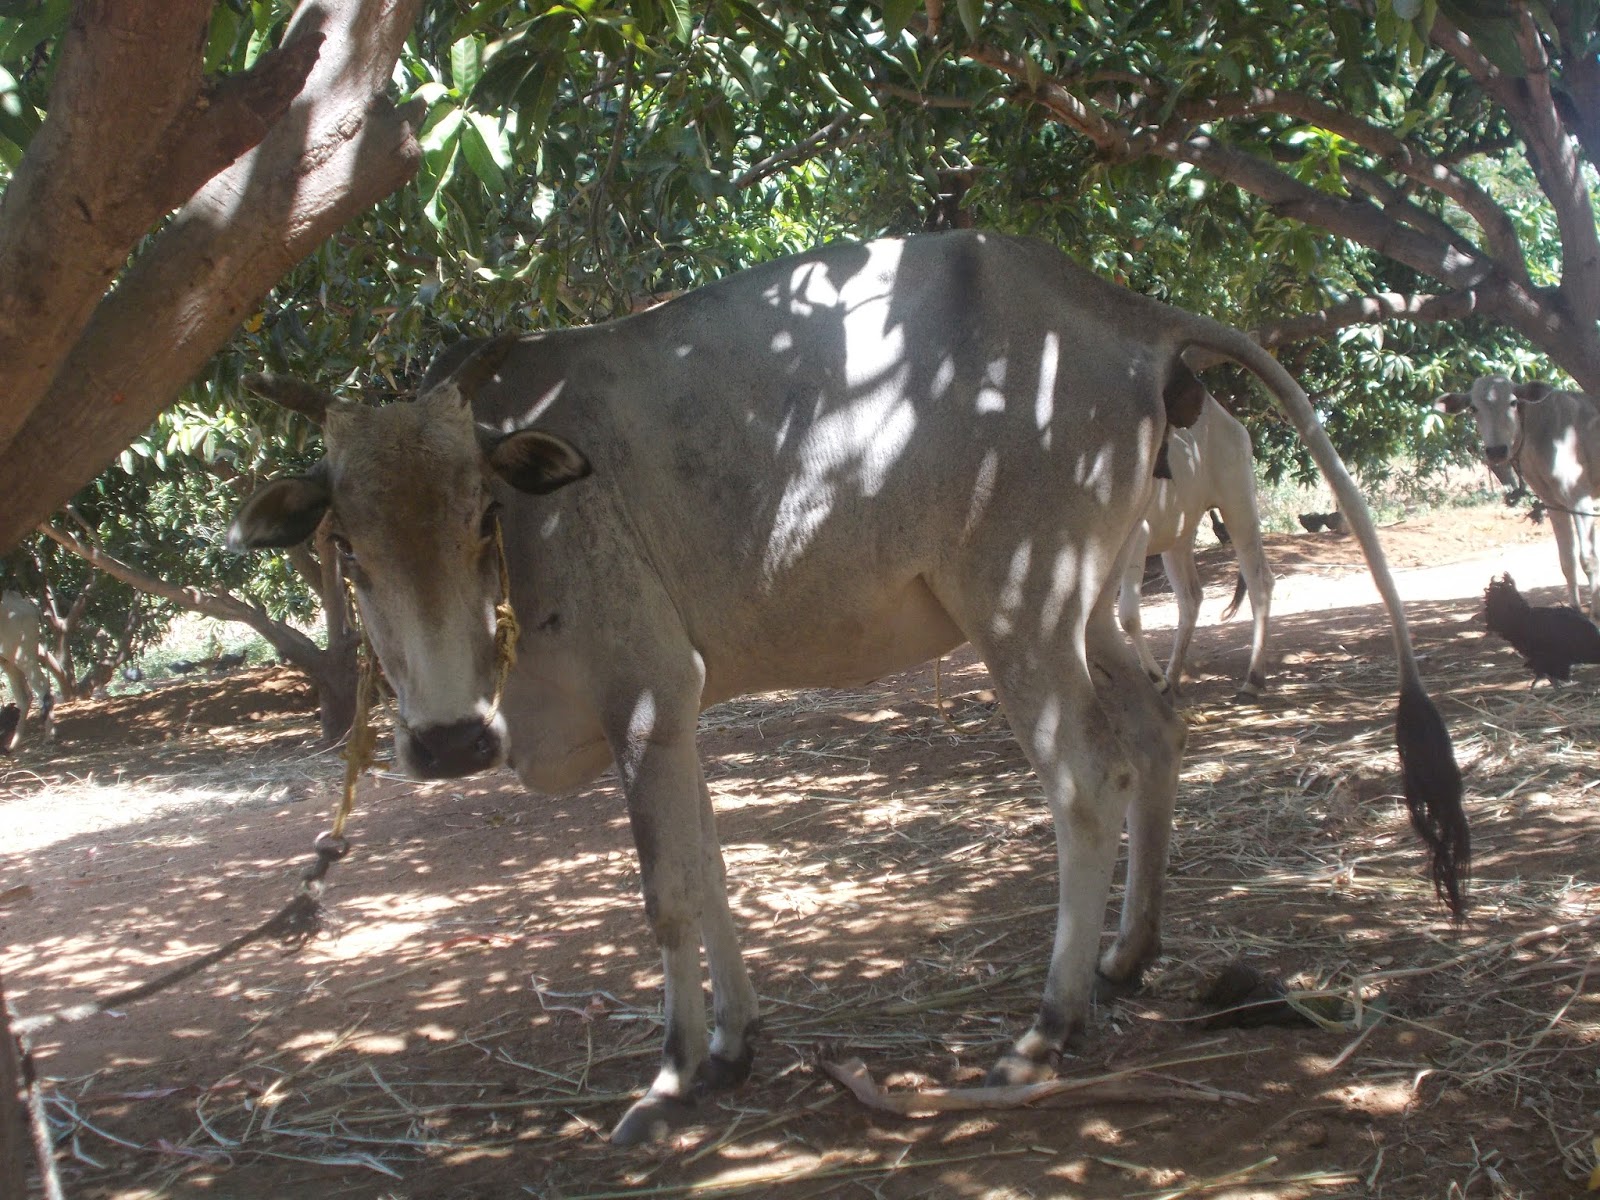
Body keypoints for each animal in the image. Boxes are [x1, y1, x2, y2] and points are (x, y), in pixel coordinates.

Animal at [0, 590, 53, 747]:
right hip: (9, 662)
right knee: (24, 697)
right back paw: (13, 744)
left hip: (23, 657)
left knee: (42, 686)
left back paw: (49, 736)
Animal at [1117, 390, 1273, 698]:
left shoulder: (1137, 535)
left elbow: (1127, 615)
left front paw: (1153, 677)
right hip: (1177, 536)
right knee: (1191, 596)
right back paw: (1173, 677)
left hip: (1238, 504)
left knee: (1260, 580)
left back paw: (1253, 679)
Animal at [1435, 376, 1600, 617]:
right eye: (1473, 408)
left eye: (1513, 402)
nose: (1496, 451)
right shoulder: (1553, 503)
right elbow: (1567, 561)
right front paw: (1575, 613)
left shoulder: (1579, 499)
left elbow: (1589, 560)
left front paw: (1595, 617)